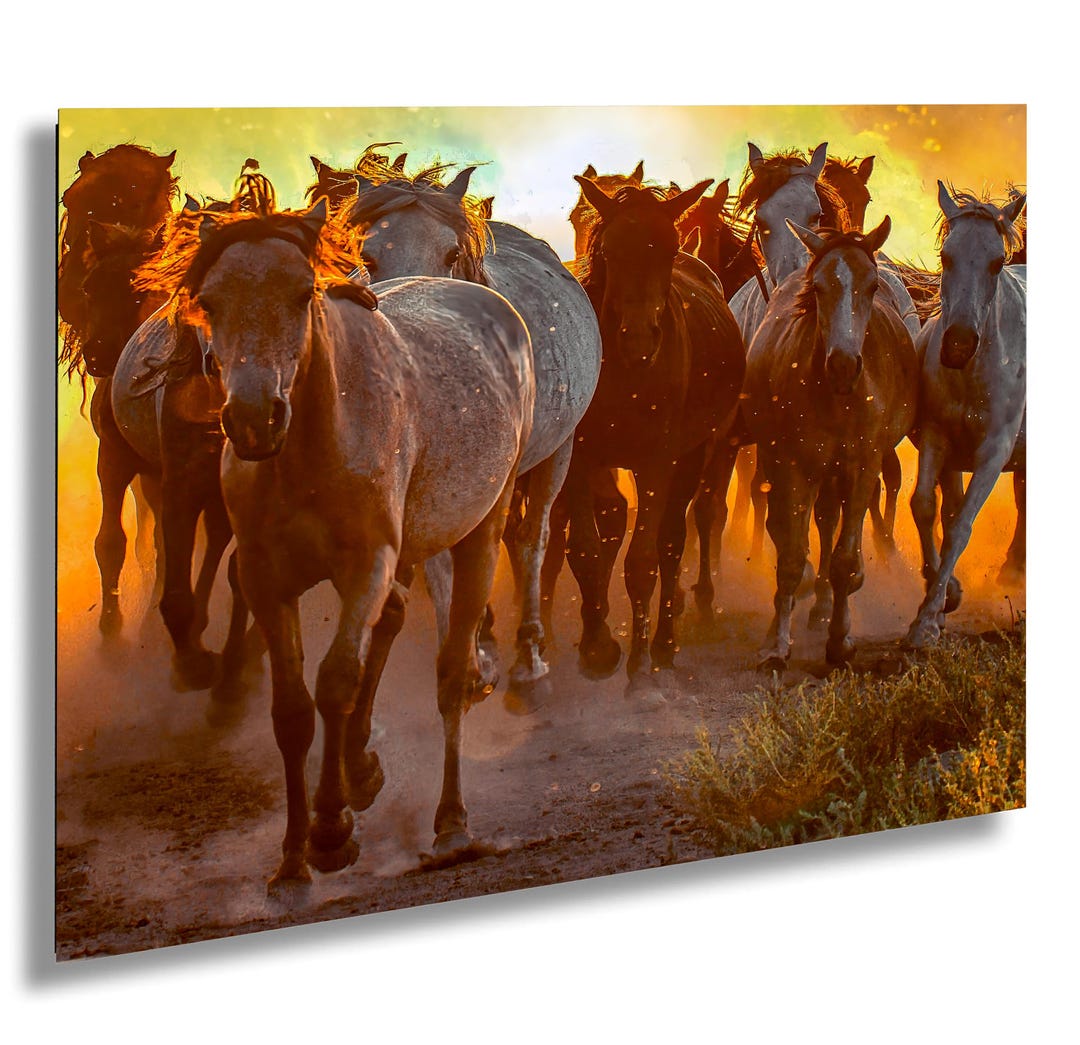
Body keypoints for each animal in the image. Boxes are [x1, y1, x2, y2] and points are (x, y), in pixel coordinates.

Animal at [165, 202, 534, 887]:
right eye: (209, 301)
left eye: (302, 292)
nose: (254, 418)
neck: (312, 447)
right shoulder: (265, 580)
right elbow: (291, 711)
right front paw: (291, 859)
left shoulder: (365, 565)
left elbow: (335, 682)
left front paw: (331, 830)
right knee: (391, 623)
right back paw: (363, 768)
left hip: (480, 534)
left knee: (450, 676)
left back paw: (450, 823)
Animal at [345, 159, 602, 701]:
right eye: (367, 256)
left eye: (452, 253)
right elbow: (440, 567)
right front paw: (470, 656)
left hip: (557, 454)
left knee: (530, 539)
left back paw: (528, 649)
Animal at [563, 176, 745, 698]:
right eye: (611, 251)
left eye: (666, 250)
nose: (641, 338)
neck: (626, 372)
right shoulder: (580, 459)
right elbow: (585, 549)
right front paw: (597, 647)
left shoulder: (657, 463)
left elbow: (643, 561)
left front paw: (640, 667)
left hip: (694, 455)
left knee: (671, 541)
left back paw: (663, 643)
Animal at [741, 219, 918, 668]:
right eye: (818, 287)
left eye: (872, 286)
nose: (842, 364)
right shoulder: (791, 464)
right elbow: (790, 553)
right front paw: (775, 644)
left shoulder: (861, 467)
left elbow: (843, 558)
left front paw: (840, 641)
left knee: (828, 522)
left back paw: (824, 606)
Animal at [905, 183, 1026, 648]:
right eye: (946, 257)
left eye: (997, 262)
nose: (957, 344)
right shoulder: (938, 437)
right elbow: (925, 506)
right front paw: (942, 598)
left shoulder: (993, 453)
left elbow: (961, 526)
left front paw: (925, 621)